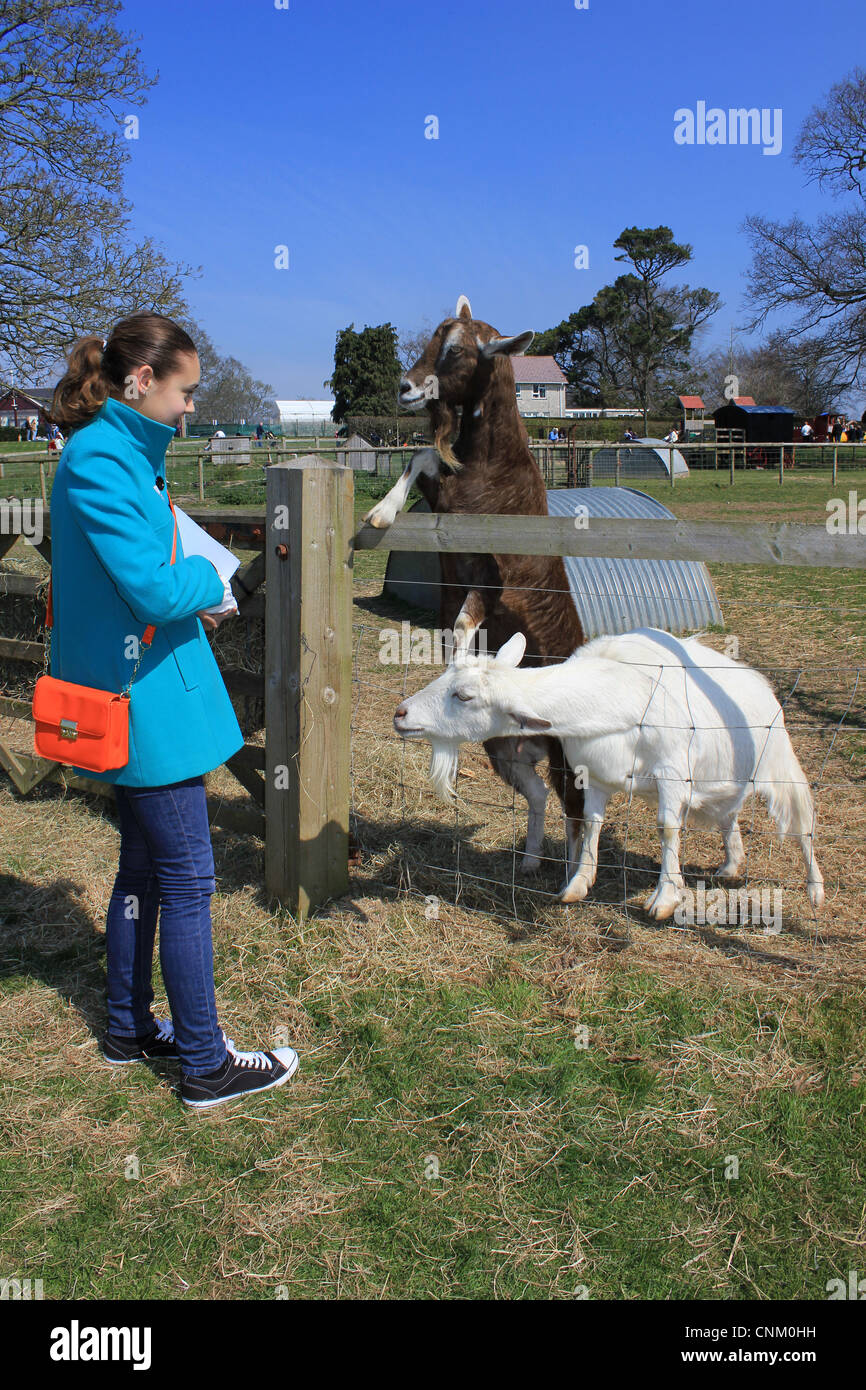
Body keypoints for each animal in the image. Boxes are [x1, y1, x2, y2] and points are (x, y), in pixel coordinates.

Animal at [364, 295, 586, 873]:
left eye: (460, 352)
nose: (405, 387)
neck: (494, 467)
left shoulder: (492, 576)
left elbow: (464, 627)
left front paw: (463, 669)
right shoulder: (445, 498)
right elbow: (422, 455)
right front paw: (380, 513)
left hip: (567, 751)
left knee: (576, 807)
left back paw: (572, 871)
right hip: (503, 751)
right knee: (539, 794)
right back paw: (530, 862)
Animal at [393, 628, 825, 919]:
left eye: (464, 696)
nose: (401, 713)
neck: (620, 694)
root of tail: (758, 682)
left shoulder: (672, 772)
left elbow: (668, 827)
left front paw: (665, 898)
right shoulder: (594, 774)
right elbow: (592, 821)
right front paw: (577, 883)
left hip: (779, 764)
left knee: (802, 824)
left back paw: (815, 890)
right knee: (729, 814)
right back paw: (733, 864)